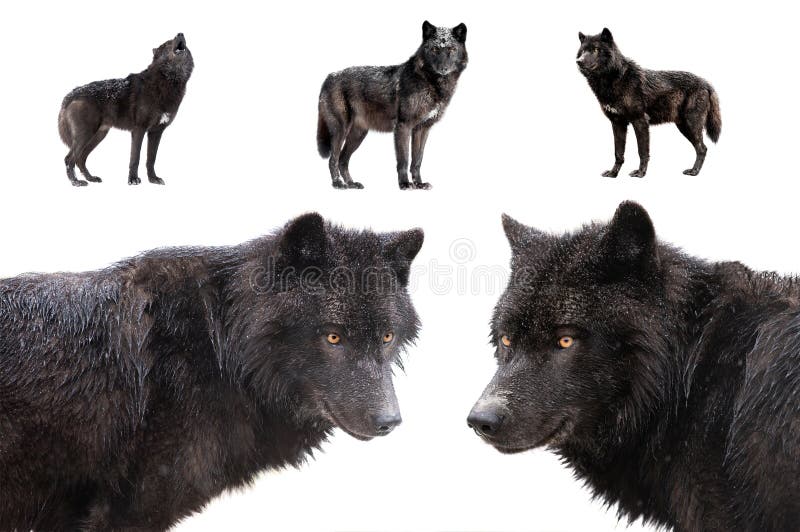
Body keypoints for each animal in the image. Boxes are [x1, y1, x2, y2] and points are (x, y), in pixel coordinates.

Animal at [58, 33, 194, 187]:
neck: (167, 81)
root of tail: (70, 95)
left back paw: (91, 178)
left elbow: (151, 159)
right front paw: (133, 180)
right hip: (85, 135)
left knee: (80, 158)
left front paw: (153, 179)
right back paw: (76, 182)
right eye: (166, 44)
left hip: (98, 136)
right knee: (69, 159)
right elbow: (135, 158)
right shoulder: (139, 130)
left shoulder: (156, 132)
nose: (180, 34)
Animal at [317, 21, 468, 190]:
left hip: (358, 134)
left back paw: (351, 183)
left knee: (343, 160)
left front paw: (419, 184)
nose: (443, 69)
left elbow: (417, 160)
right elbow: (404, 160)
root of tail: (329, 77)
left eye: (452, 49)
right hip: (341, 130)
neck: (430, 82)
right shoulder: (403, 126)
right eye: (435, 49)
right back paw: (338, 183)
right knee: (333, 159)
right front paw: (405, 184)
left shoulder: (422, 129)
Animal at [576, 28, 721, 177]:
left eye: (595, 49)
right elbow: (618, 153)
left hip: (691, 125)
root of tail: (706, 83)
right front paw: (613, 173)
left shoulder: (640, 121)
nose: (579, 61)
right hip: (683, 126)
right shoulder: (617, 123)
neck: (615, 79)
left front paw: (640, 173)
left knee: (702, 148)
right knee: (702, 148)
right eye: (583, 51)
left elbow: (642, 151)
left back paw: (694, 171)